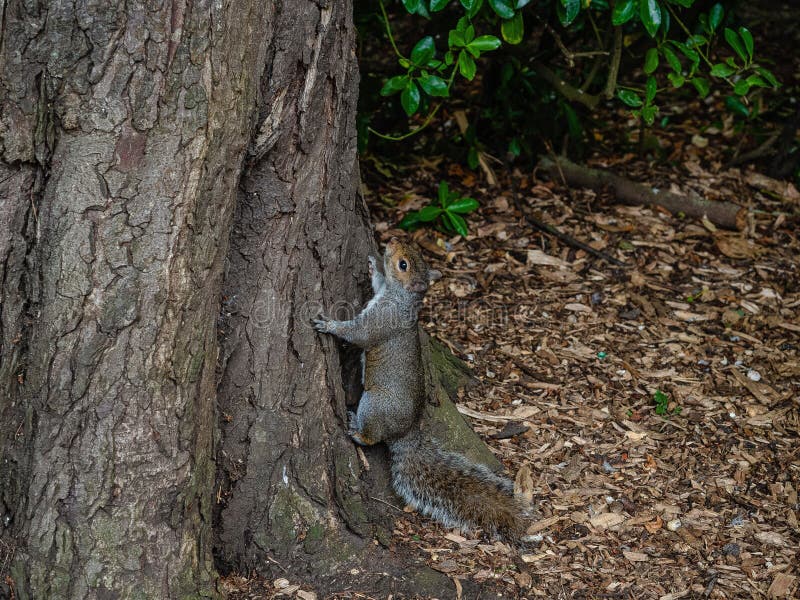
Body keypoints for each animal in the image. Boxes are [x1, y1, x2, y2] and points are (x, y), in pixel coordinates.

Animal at [313, 236, 530, 540]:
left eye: (403, 264)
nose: (392, 241)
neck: (400, 297)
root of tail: (406, 433)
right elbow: (378, 282)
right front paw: (373, 266)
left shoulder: (380, 320)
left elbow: (358, 334)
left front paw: (330, 324)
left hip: (375, 403)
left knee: (373, 437)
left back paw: (356, 429)